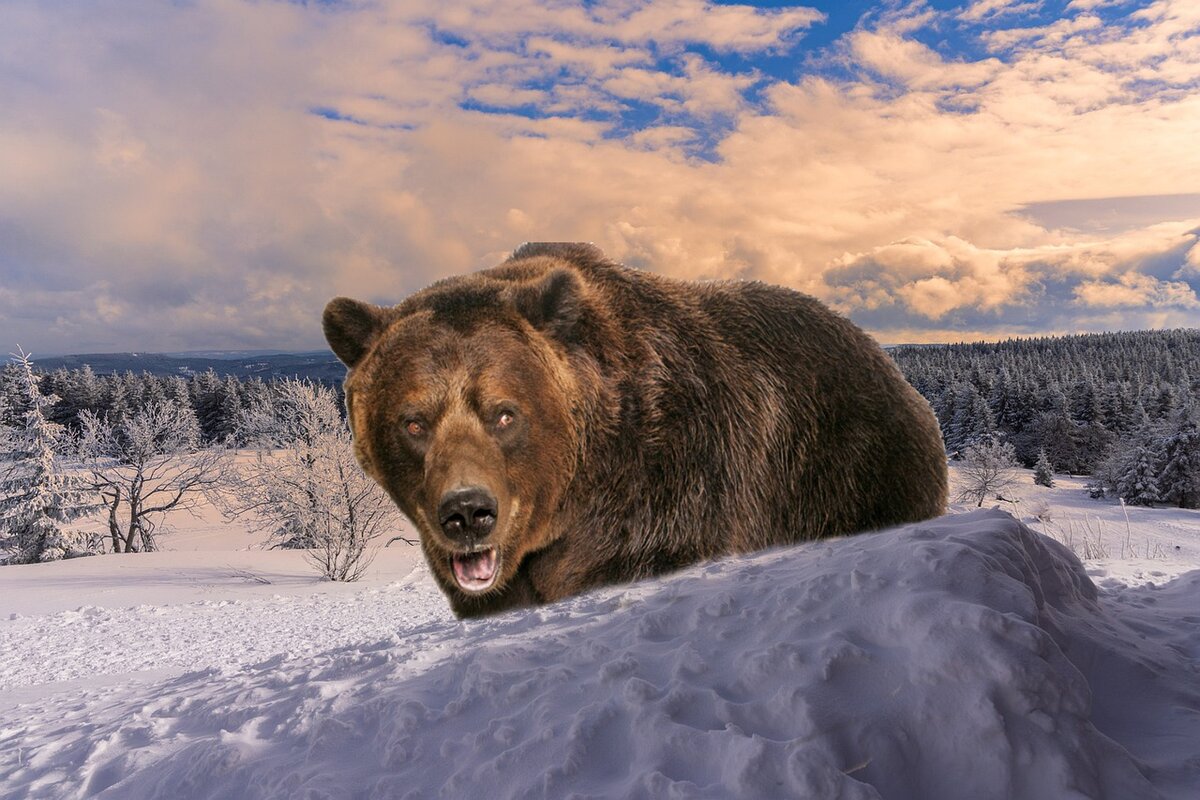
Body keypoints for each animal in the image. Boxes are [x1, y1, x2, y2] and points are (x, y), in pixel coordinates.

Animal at [324, 241, 950, 618]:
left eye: (503, 412)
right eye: (413, 422)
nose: (467, 512)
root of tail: (890, 364)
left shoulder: (666, 498)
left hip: (853, 471)